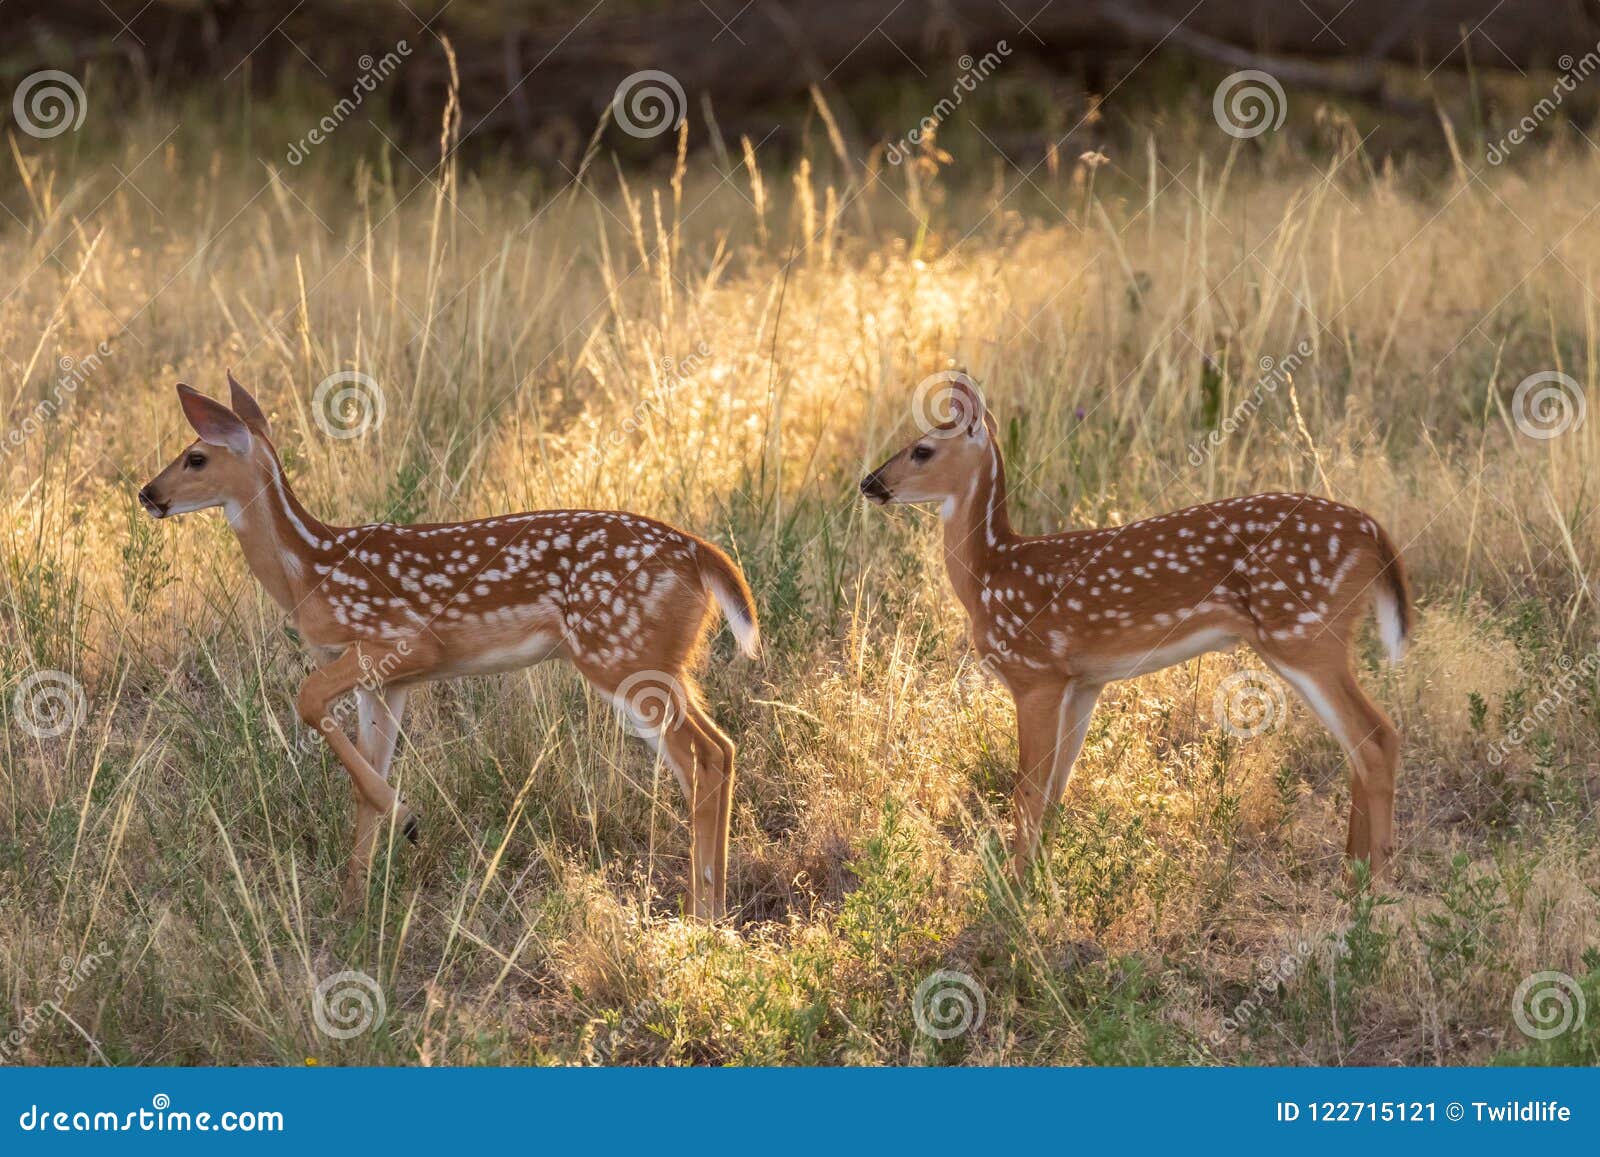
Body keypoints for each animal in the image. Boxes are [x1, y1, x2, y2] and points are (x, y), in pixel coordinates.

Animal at [138, 374, 758, 920]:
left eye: (195, 457)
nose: (147, 494)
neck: (310, 570)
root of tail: (698, 552)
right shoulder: (385, 684)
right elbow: (363, 779)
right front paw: (351, 907)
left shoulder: (405, 643)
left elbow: (308, 699)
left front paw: (406, 818)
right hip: (664, 661)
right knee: (722, 749)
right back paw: (717, 909)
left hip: (620, 651)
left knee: (702, 757)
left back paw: (700, 914)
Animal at [860, 376, 1410, 885]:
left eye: (921, 449)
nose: (869, 483)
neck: (989, 575)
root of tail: (1374, 534)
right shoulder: (1083, 682)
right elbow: (1057, 785)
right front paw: (1041, 876)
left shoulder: (1036, 673)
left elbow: (1026, 787)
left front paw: (1015, 890)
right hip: (1308, 636)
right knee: (1357, 746)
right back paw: (1353, 871)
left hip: (1304, 633)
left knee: (1376, 736)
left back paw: (1377, 887)